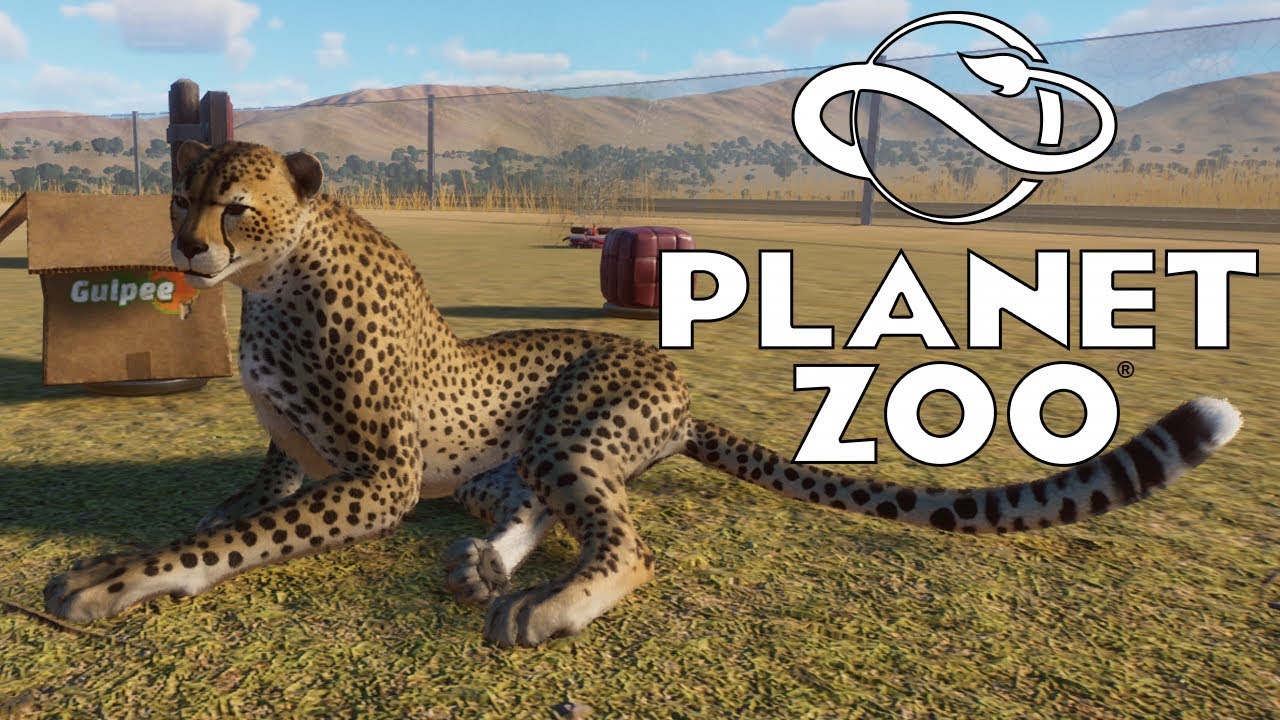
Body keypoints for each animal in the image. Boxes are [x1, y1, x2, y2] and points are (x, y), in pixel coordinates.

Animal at [43, 140, 1243, 647]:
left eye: (235, 206)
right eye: (179, 197)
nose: (183, 247)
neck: (273, 277)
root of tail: (672, 369)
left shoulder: (376, 479)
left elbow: (233, 539)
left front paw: (116, 582)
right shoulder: (294, 465)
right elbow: (221, 516)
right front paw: (141, 552)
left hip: (578, 431)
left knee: (623, 543)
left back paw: (547, 604)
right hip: (506, 459)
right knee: (532, 506)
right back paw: (486, 563)